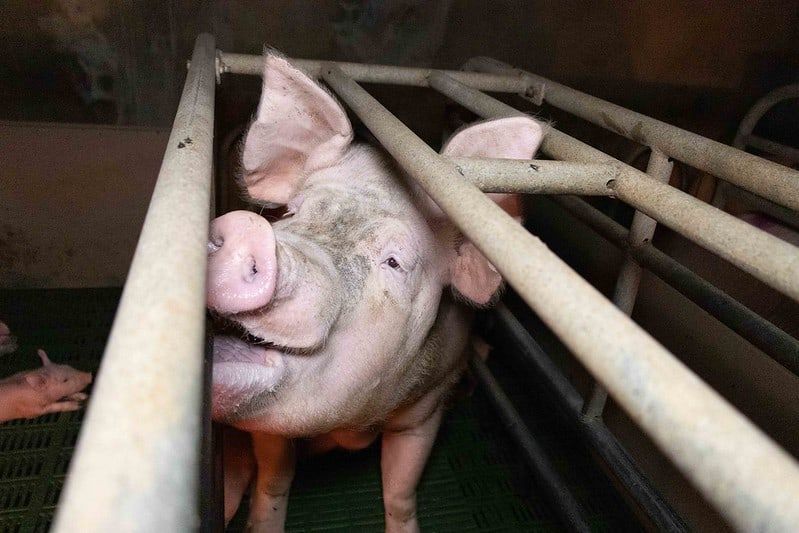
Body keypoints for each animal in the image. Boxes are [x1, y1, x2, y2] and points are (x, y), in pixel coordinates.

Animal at [207, 53, 544, 533]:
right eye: (288, 213)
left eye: (395, 262)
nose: (244, 229)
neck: (355, 423)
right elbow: (275, 477)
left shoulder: (427, 405)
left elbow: (400, 489)